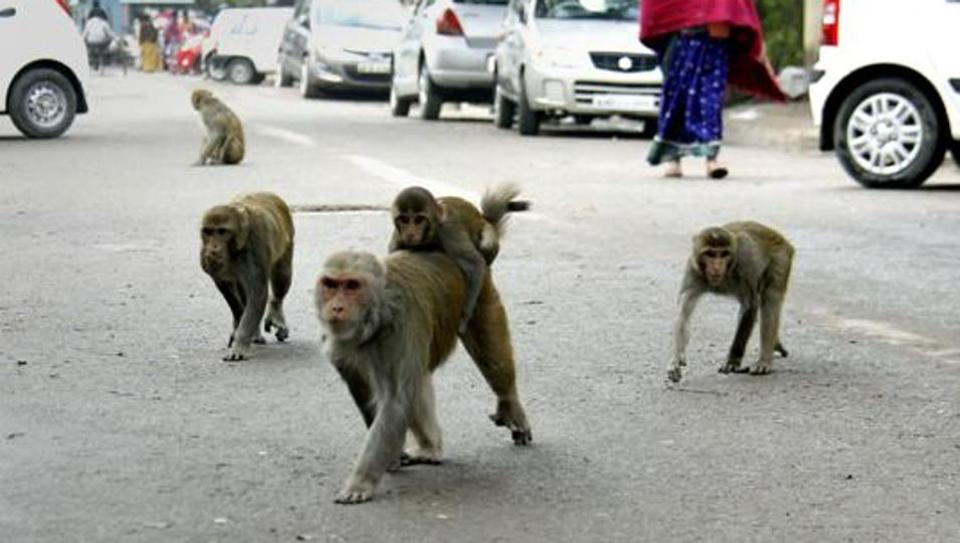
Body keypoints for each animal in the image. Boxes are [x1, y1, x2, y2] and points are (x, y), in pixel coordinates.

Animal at [200, 192, 294, 361]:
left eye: (222, 232)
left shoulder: (256, 248)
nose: (213, 249)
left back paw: (276, 313)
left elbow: (257, 293)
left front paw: (240, 342)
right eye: (208, 232)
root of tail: (270, 194)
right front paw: (239, 326)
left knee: (282, 276)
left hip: (287, 240)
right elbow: (226, 287)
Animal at [316, 249, 532, 504]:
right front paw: (393, 457)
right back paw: (430, 448)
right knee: (418, 381)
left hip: (480, 294)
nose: (336, 307)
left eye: (352, 285)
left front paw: (360, 482)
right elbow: (362, 389)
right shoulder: (338, 344)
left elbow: (396, 403)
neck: (378, 316)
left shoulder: (401, 329)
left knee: (489, 354)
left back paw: (509, 403)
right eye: (331, 285)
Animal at [388, 184, 530, 333]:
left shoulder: (449, 231)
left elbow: (474, 265)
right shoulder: (397, 236)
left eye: (419, 220)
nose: (410, 233)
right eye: (404, 220)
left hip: (488, 231)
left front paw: (465, 317)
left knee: (486, 246)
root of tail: (483, 217)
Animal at [667, 221, 794, 383]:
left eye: (724, 254)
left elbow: (751, 305)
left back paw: (764, 359)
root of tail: (778, 236)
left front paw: (732, 361)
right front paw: (675, 360)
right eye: (710, 254)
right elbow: (683, 315)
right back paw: (775, 344)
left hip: (781, 257)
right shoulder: (693, 269)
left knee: (770, 297)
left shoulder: (746, 264)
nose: (717, 267)